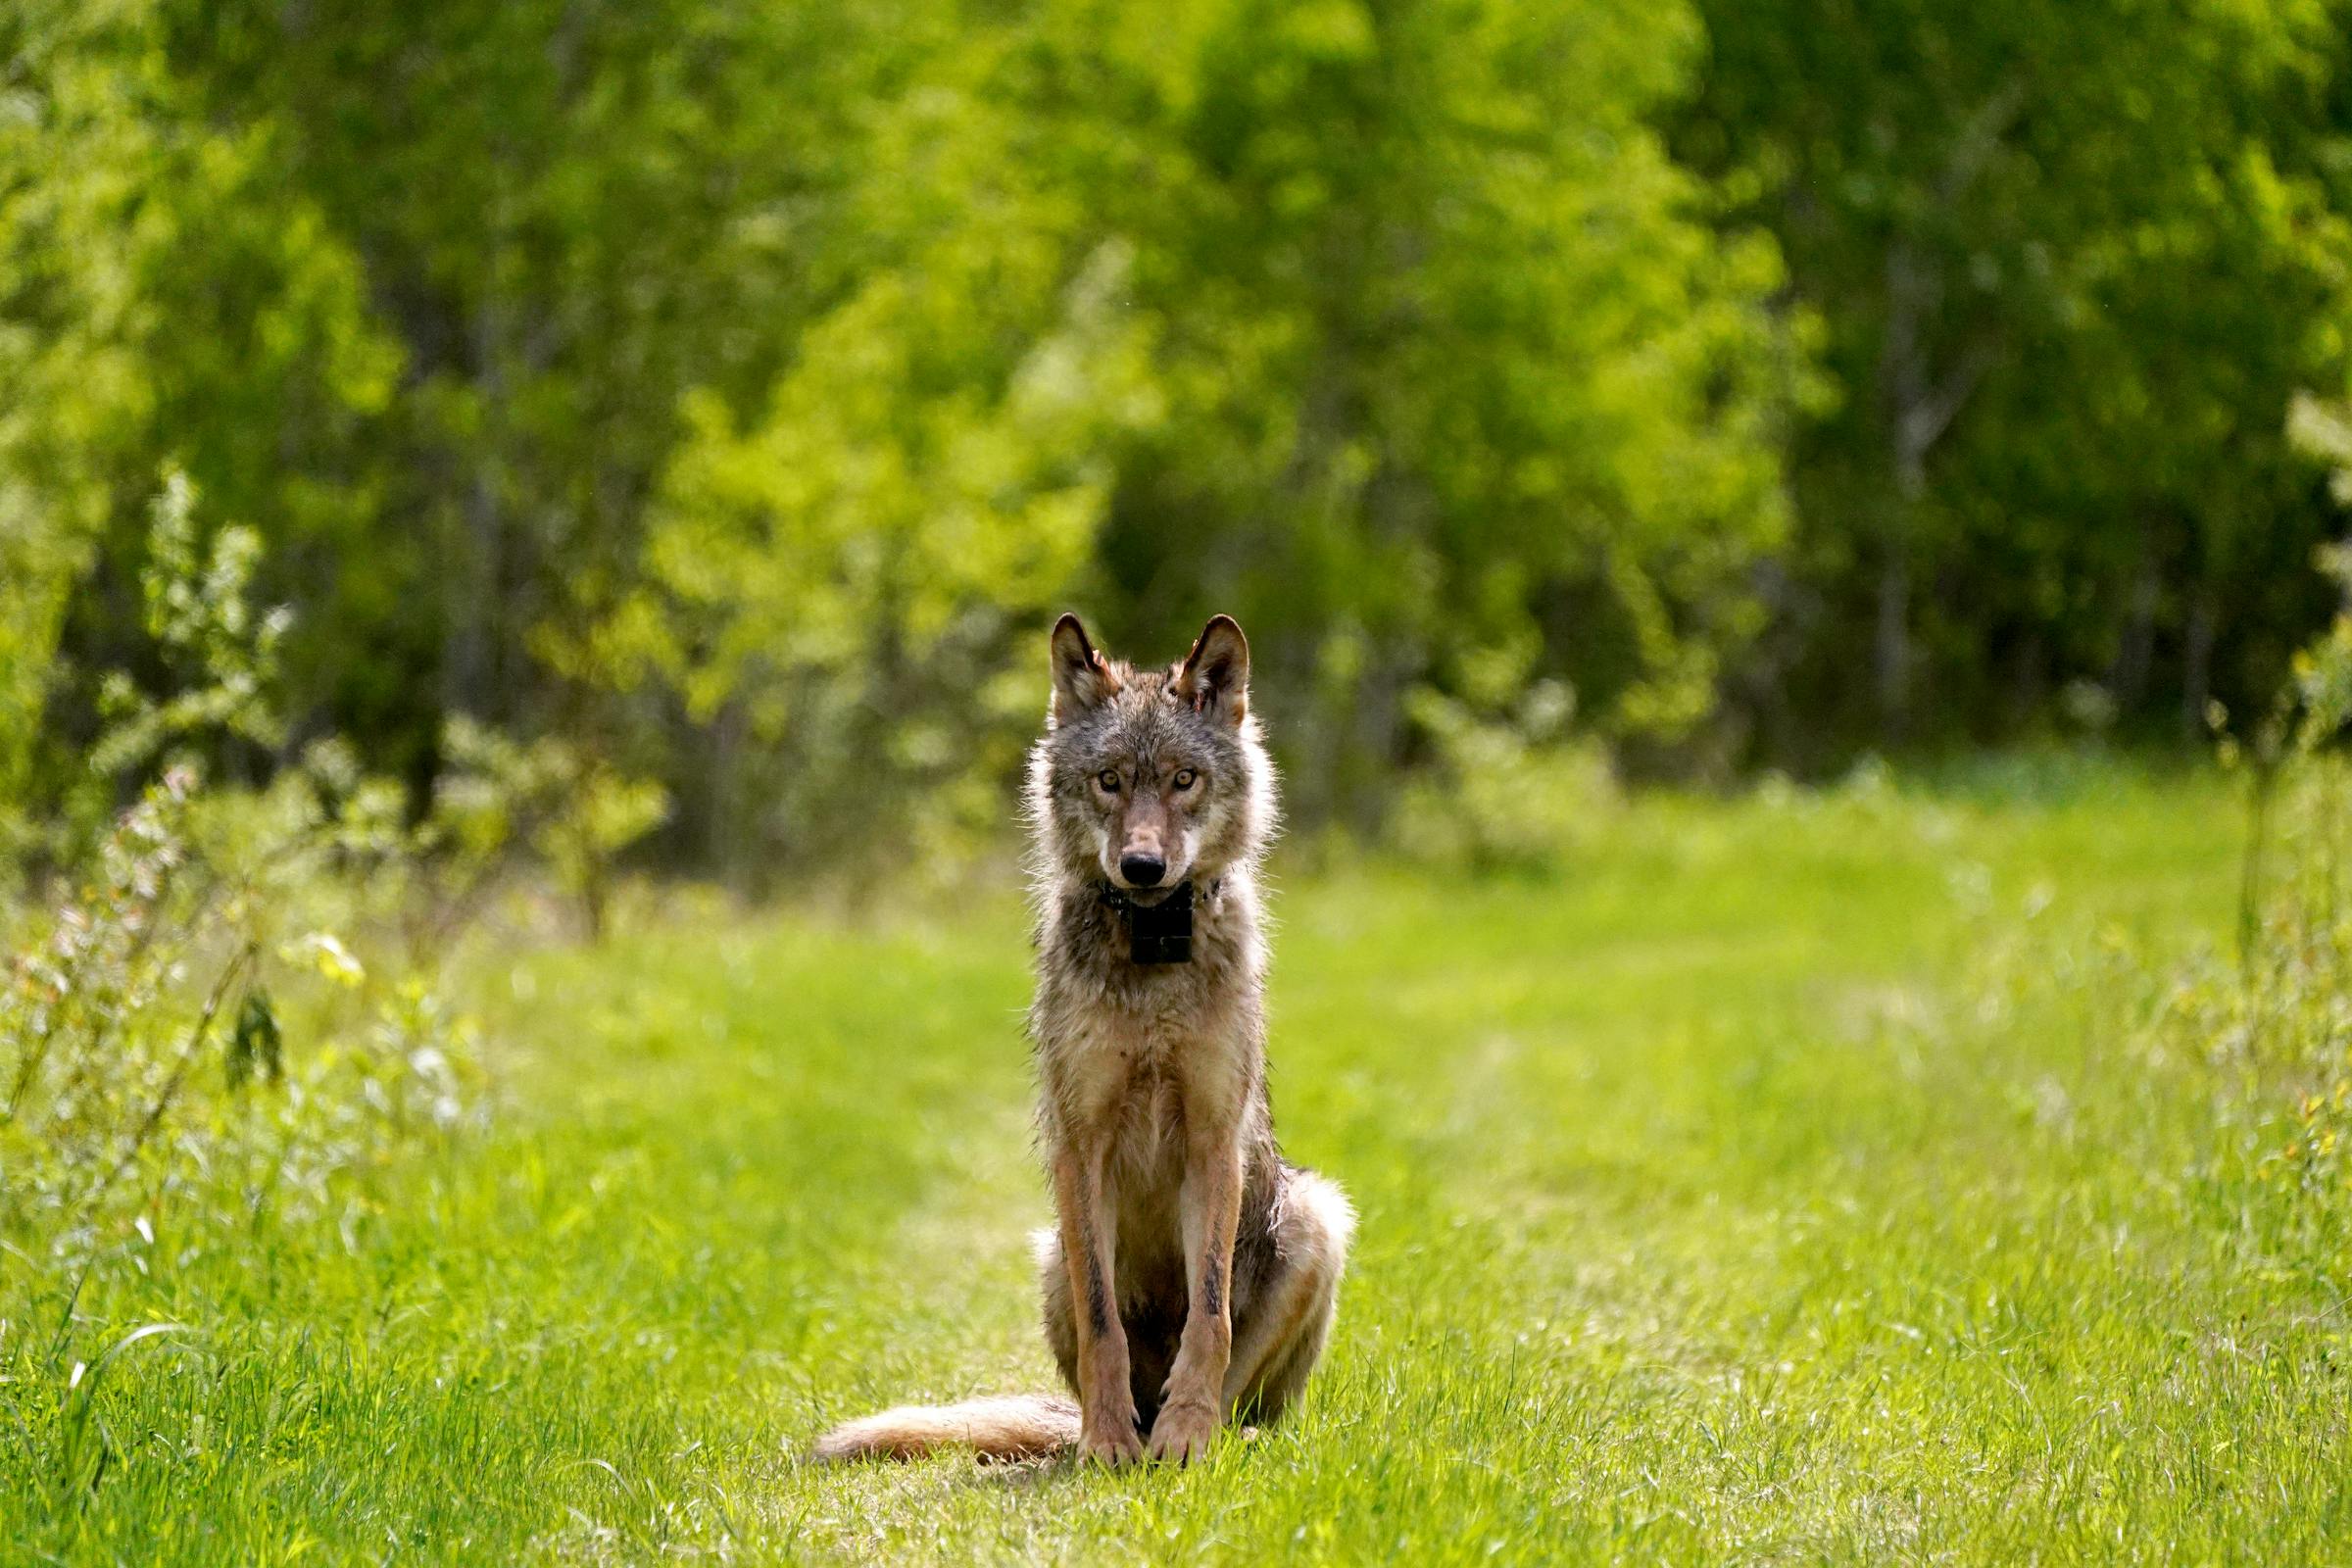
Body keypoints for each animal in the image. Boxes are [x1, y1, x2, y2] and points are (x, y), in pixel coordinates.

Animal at [814, 613, 1354, 1467]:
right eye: (1109, 780)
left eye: (1182, 779)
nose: (1143, 865)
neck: (1155, 953)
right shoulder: (1081, 1147)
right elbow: (1105, 1325)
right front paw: (1109, 1444)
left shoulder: (1213, 1143)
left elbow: (1209, 1317)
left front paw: (1186, 1436)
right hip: (1049, 1252)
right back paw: (1114, 1432)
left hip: (1315, 1215)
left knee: (1246, 1400)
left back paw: (1210, 1434)